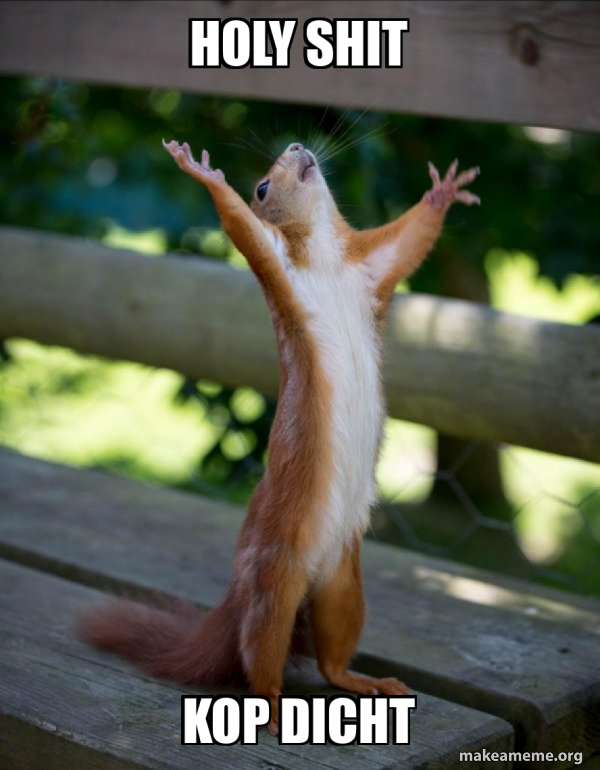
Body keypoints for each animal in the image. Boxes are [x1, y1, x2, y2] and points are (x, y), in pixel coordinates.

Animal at [78, 138, 479, 736]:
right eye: (262, 187)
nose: (296, 146)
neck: (327, 257)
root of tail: (239, 594)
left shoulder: (372, 267)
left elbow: (409, 241)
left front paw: (443, 192)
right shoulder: (277, 266)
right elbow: (240, 226)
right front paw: (204, 174)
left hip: (344, 585)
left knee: (332, 658)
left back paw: (363, 681)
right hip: (274, 583)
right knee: (259, 655)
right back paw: (269, 706)